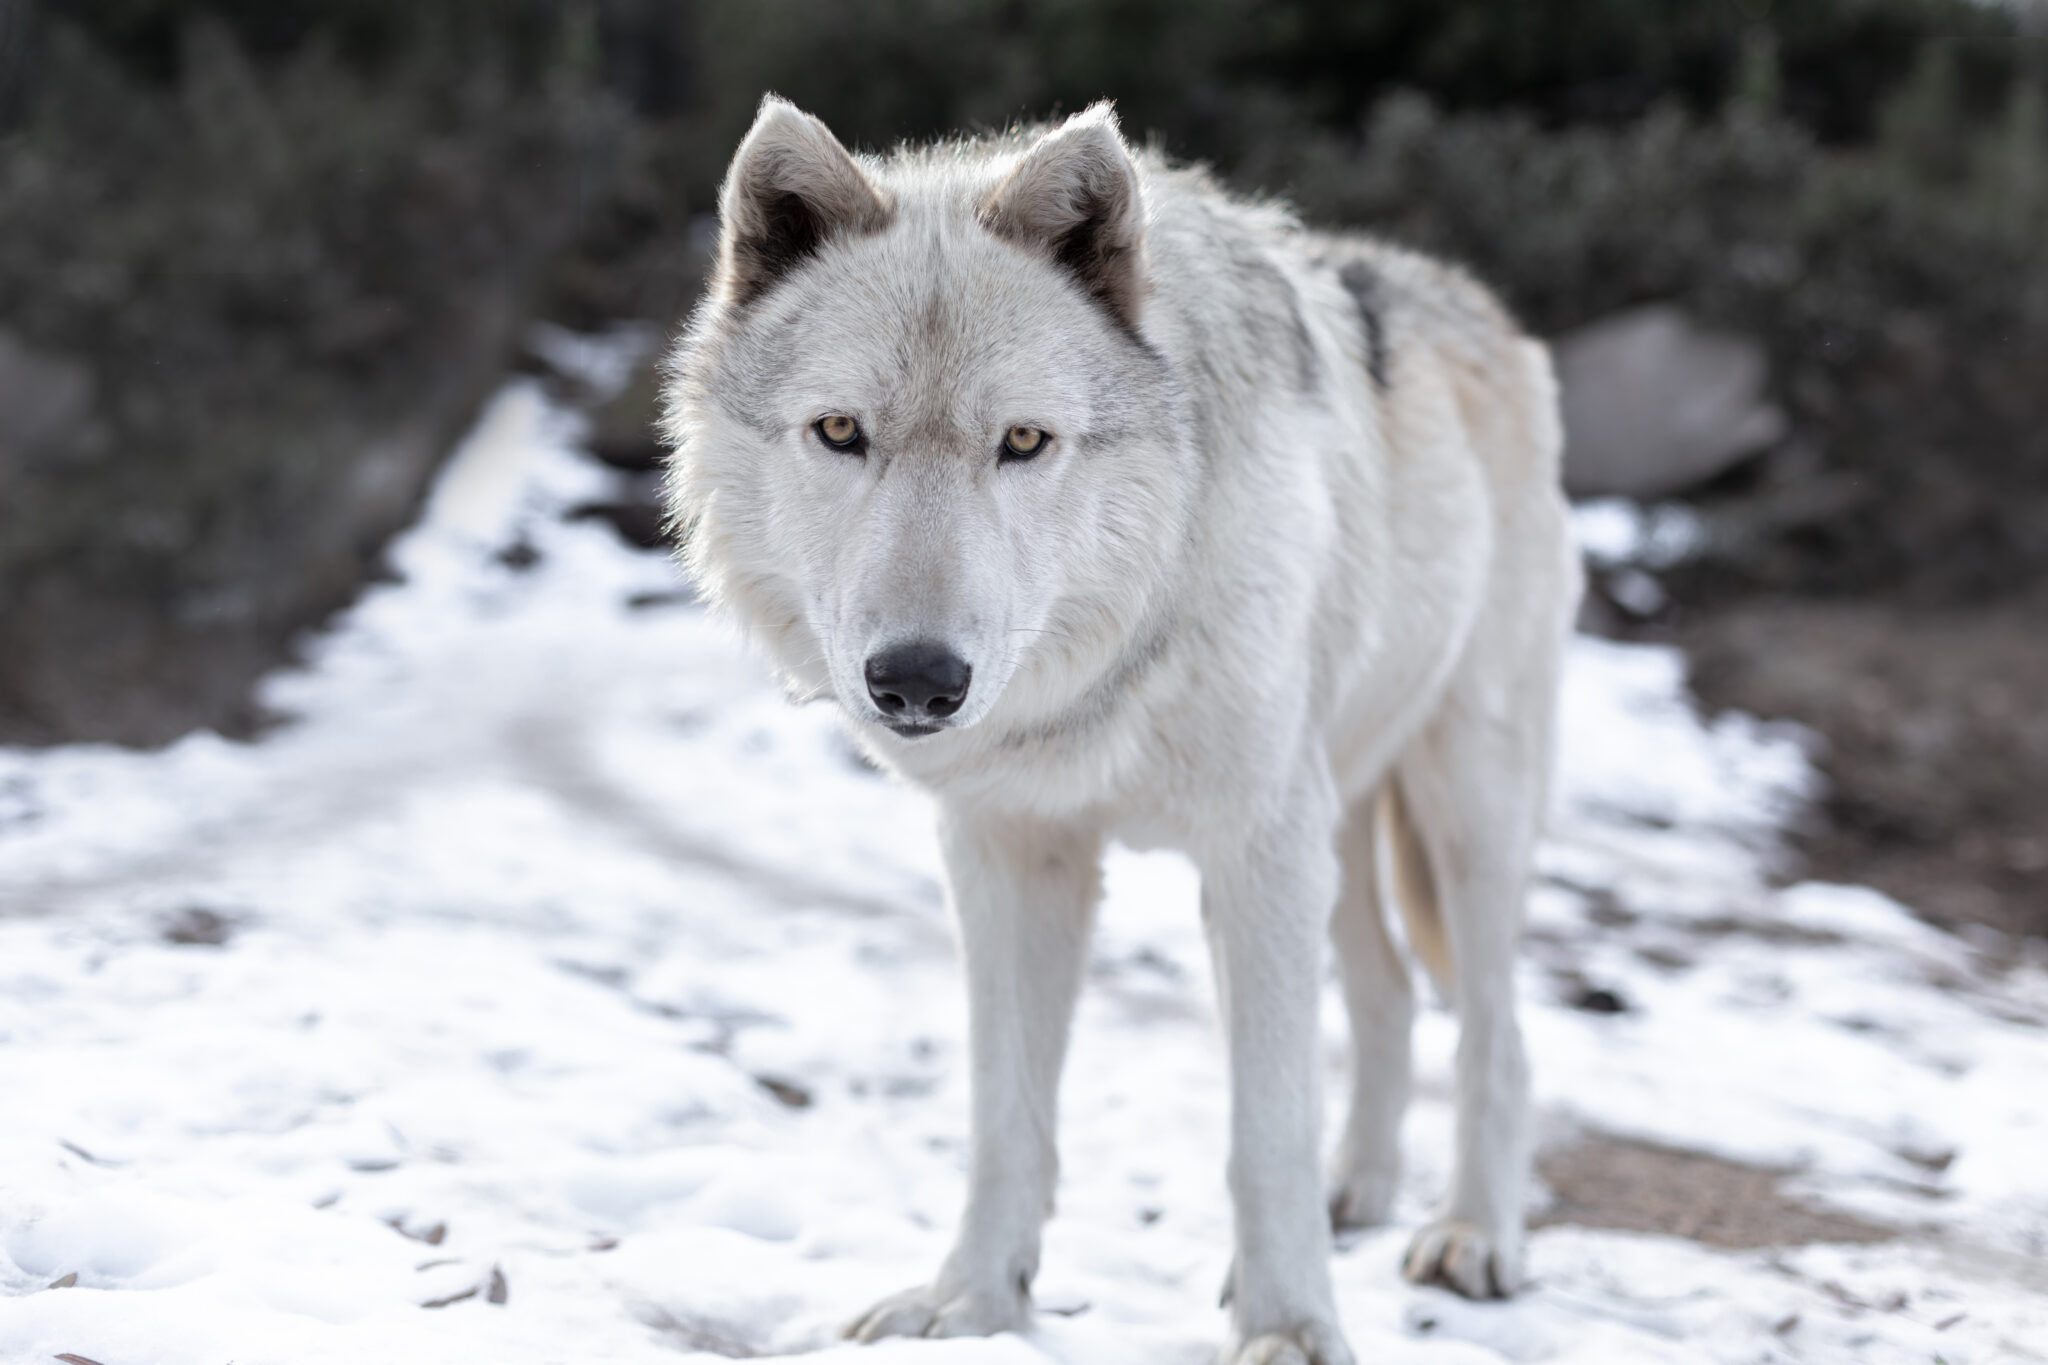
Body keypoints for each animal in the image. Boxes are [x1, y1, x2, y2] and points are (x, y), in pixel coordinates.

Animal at [662, 96, 1581, 1364]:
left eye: (1023, 443)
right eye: (840, 432)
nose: (917, 682)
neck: (1099, 672)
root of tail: (1480, 306)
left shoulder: (1255, 852)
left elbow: (1264, 1130)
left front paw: (1289, 1327)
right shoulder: (1009, 854)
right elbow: (1005, 1114)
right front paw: (969, 1305)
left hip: (1463, 809)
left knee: (1497, 1031)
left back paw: (1472, 1236)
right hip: (1340, 827)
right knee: (1387, 993)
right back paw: (1356, 1193)